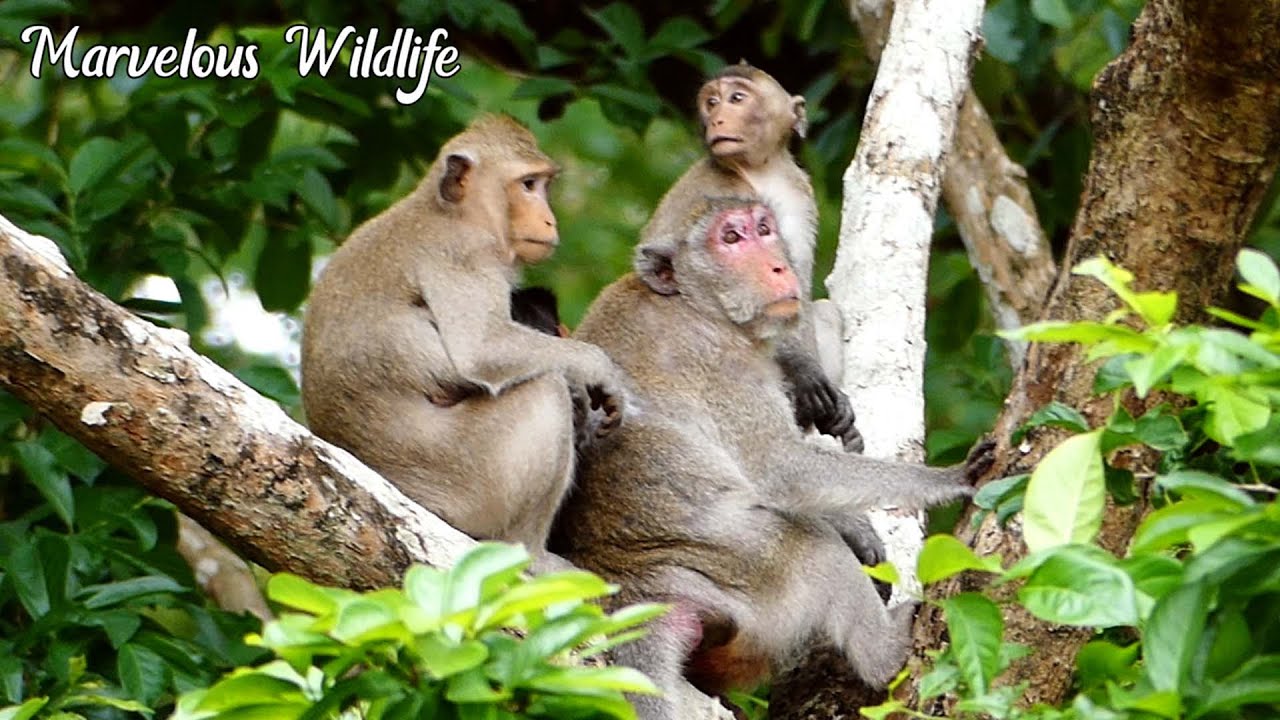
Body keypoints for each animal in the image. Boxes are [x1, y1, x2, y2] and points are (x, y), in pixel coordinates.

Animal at [301, 115, 626, 573]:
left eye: (543, 185)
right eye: (528, 184)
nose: (549, 221)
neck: (448, 211)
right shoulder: (465, 253)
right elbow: (481, 350)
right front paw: (594, 368)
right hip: (469, 484)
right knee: (544, 390)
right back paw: (529, 554)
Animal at [554, 197, 980, 719]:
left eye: (763, 228)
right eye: (730, 238)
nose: (779, 266)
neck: (695, 304)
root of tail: (634, 589)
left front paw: (856, 525)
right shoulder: (720, 363)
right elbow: (784, 472)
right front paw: (948, 479)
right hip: (746, 566)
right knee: (810, 546)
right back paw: (886, 652)